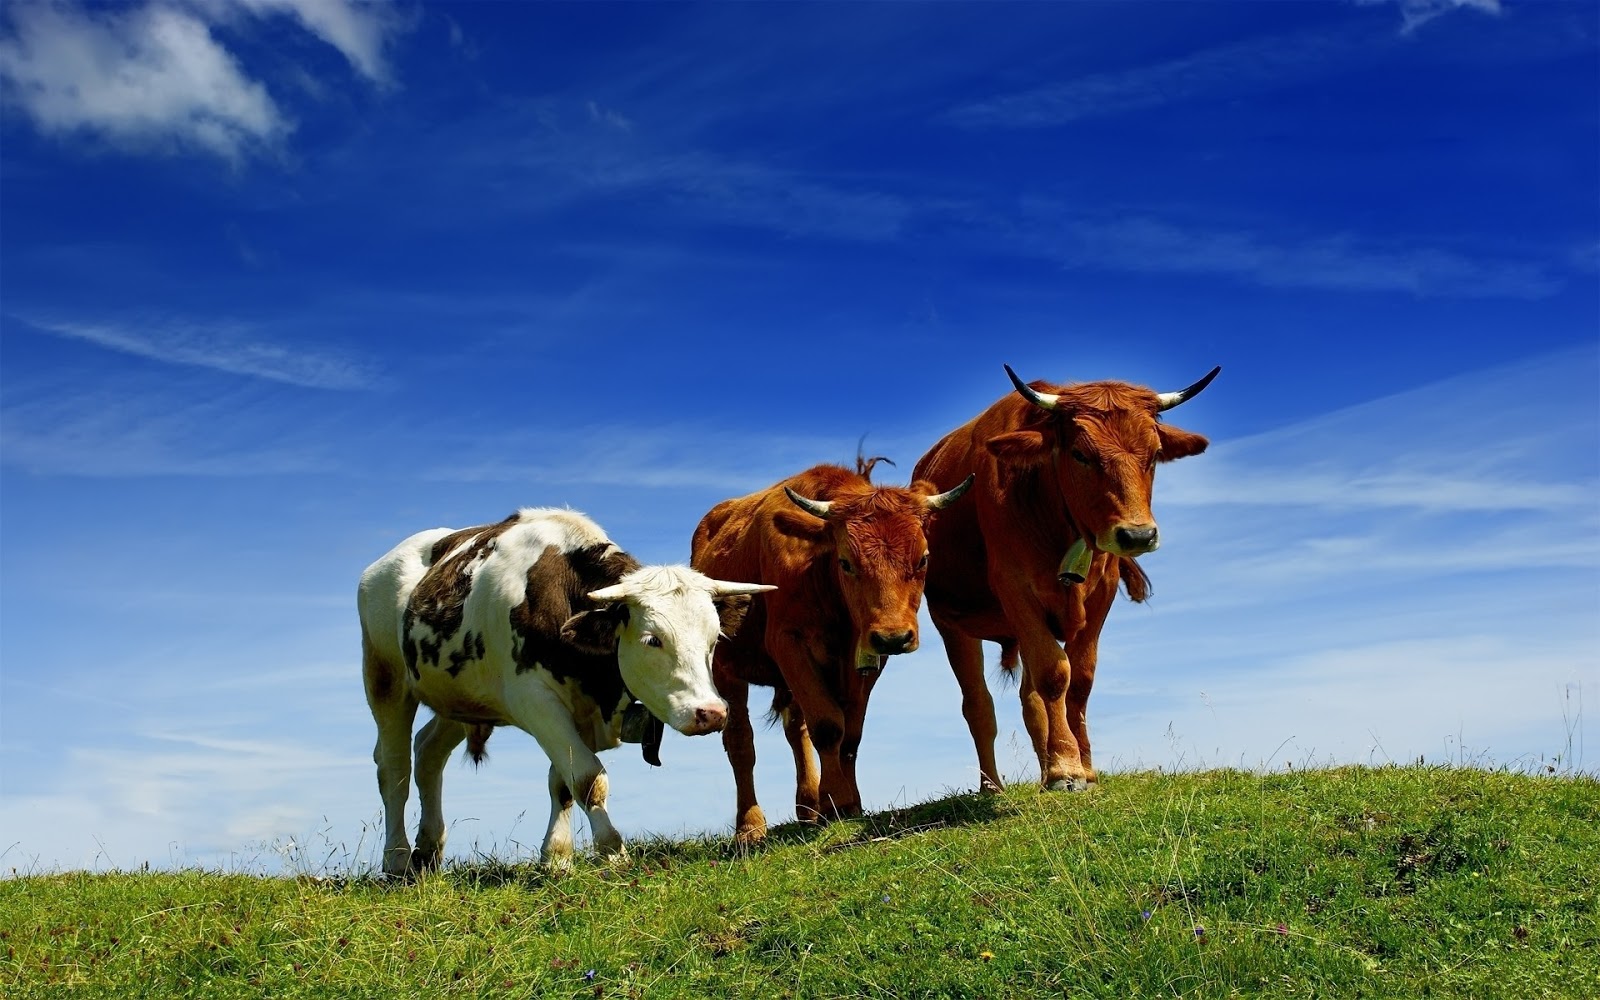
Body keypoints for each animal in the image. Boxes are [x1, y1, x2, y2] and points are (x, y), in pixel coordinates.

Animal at [358, 507, 774, 874]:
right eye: (652, 639)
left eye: (714, 638)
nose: (711, 713)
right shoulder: (535, 702)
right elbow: (588, 778)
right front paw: (612, 850)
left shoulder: (579, 712)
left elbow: (562, 781)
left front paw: (556, 857)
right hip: (384, 678)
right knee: (394, 767)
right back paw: (397, 859)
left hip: (459, 697)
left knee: (428, 753)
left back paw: (428, 851)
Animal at [691, 459, 973, 843]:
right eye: (846, 562)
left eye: (923, 559)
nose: (893, 637)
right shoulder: (788, 642)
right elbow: (827, 725)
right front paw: (835, 800)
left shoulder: (866, 659)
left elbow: (850, 734)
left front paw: (846, 803)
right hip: (726, 668)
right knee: (741, 743)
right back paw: (750, 826)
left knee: (796, 731)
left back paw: (809, 805)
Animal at [913, 365, 1219, 793]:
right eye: (1081, 454)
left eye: (1155, 454)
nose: (1138, 535)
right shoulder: (1015, 588)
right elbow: (1055, 674)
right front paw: (1065, 769)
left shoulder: (1101, 594)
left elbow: (1080, 680)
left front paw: (1083, 768)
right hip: (952, 624)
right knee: (978, 704)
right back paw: (992, 785)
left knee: (1030, 700)